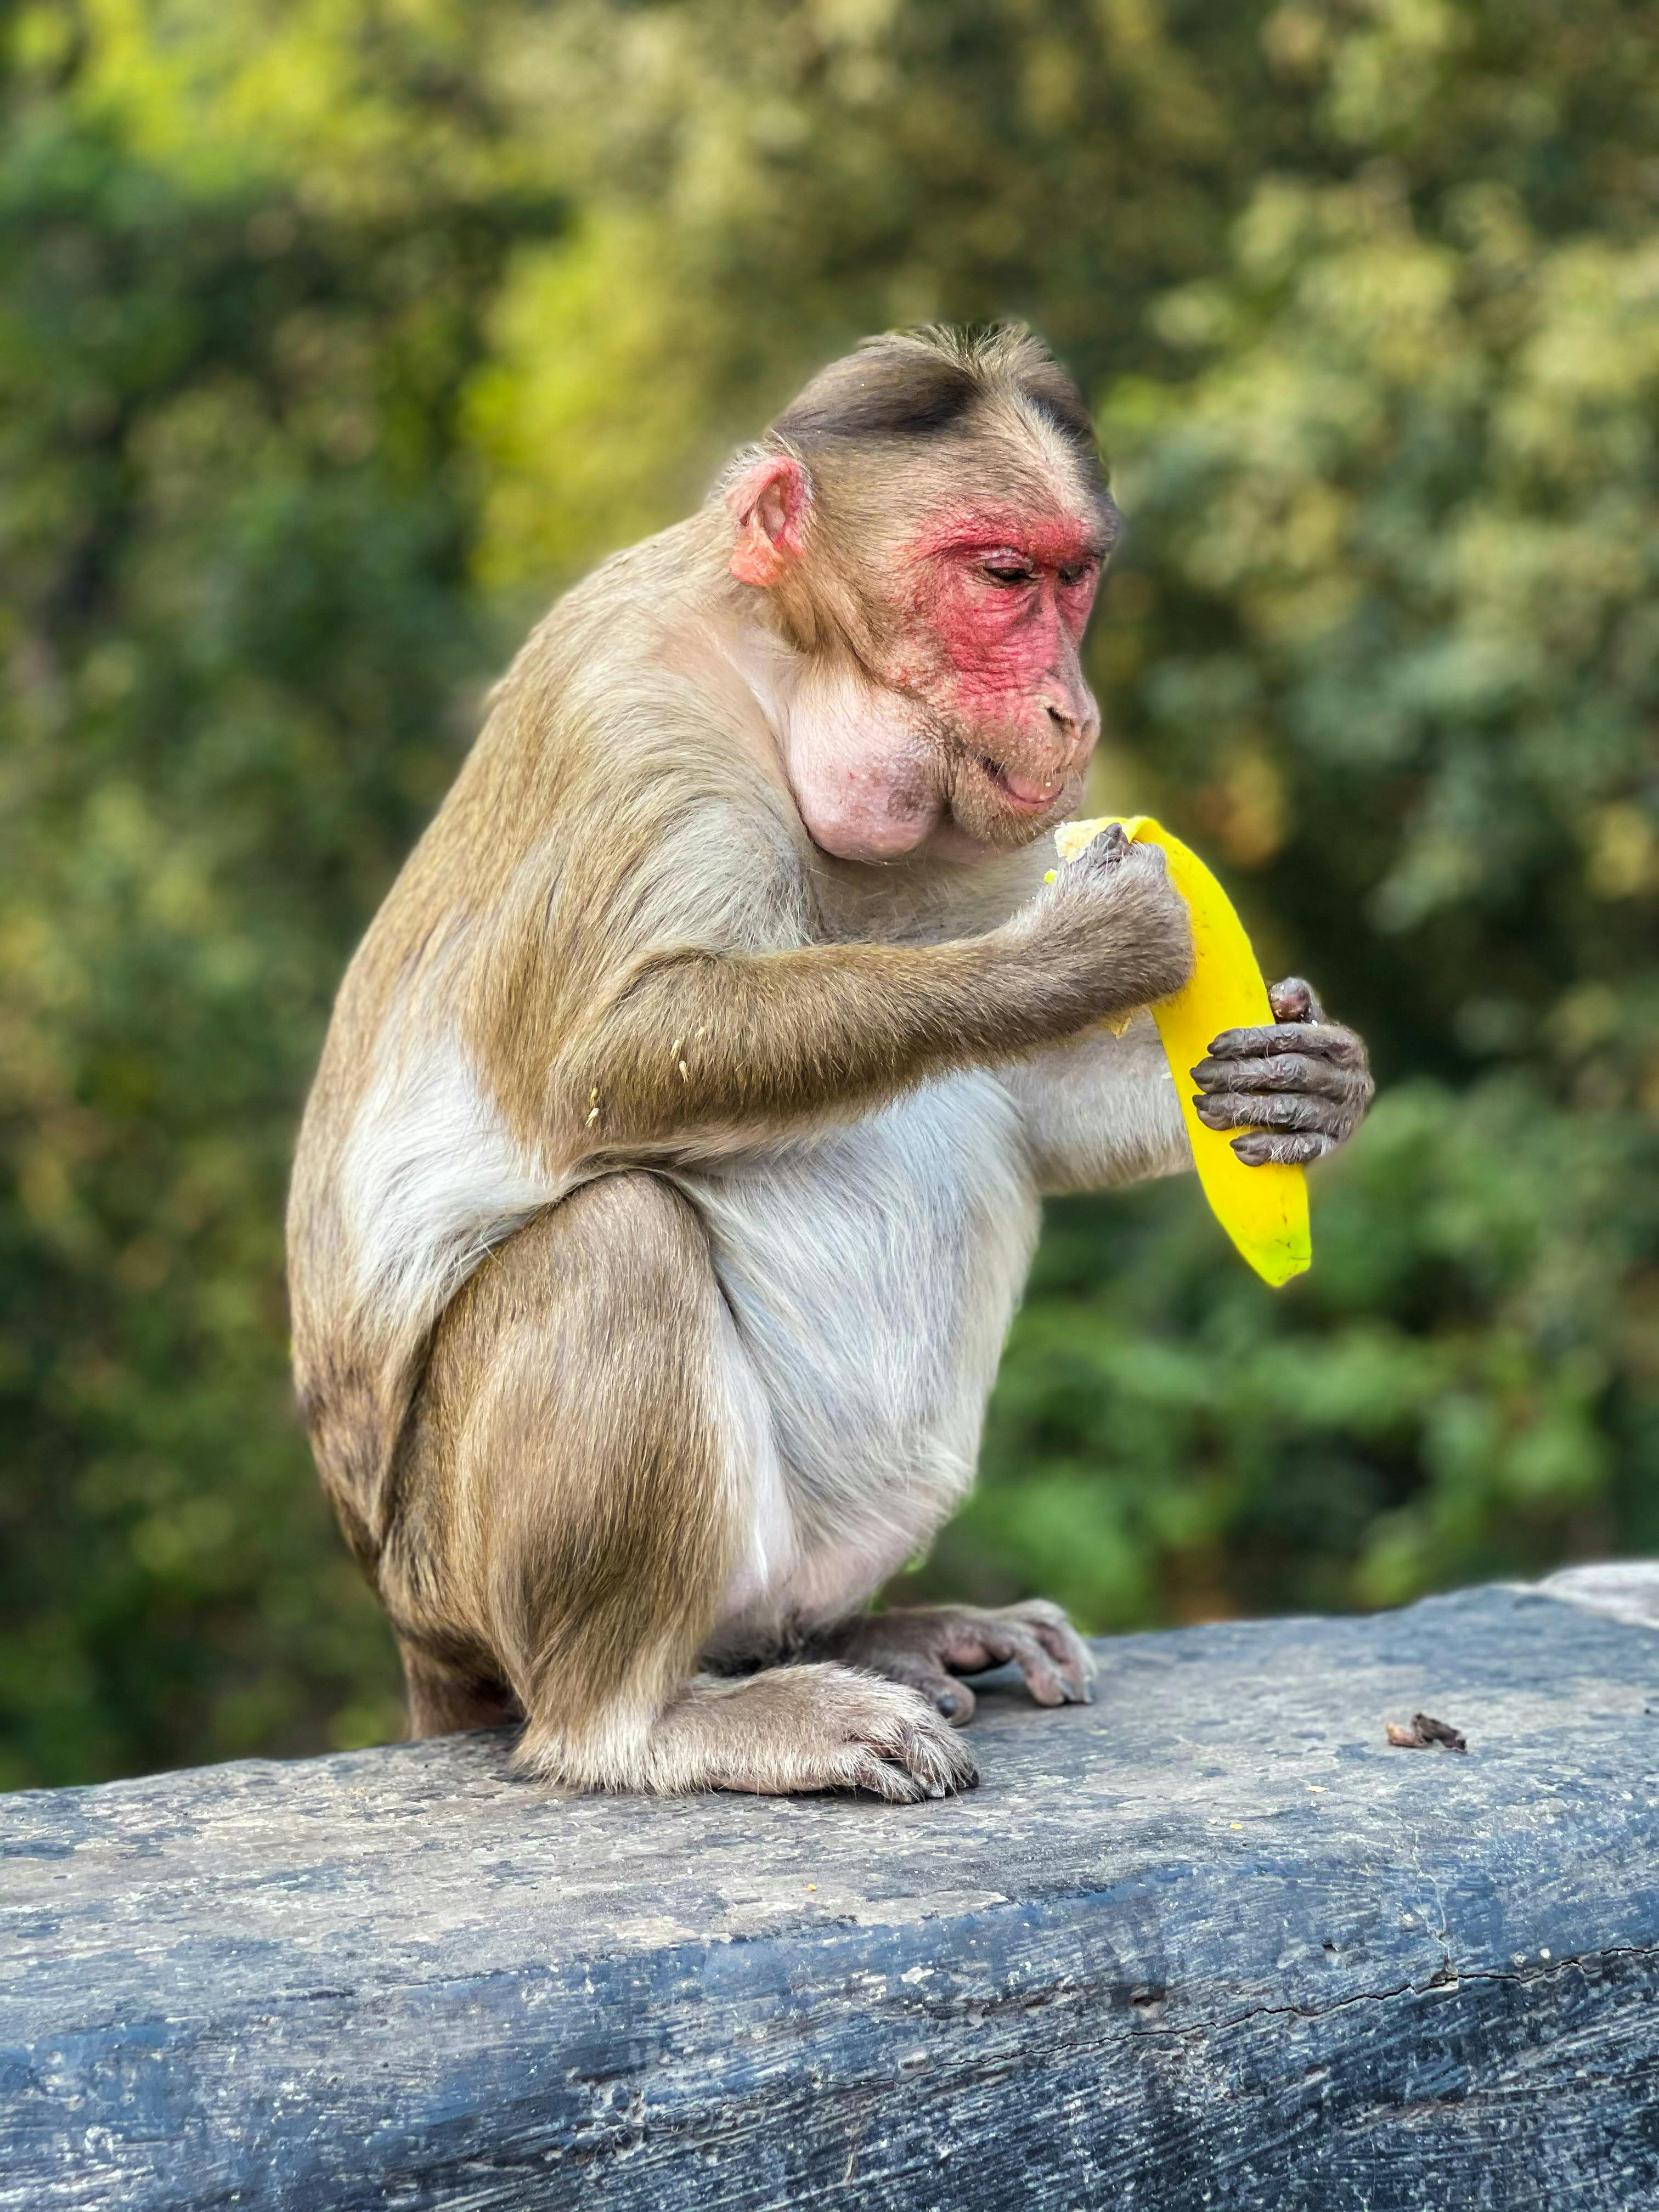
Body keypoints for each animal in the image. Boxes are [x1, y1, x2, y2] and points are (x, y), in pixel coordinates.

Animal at [287, 325, 1374, 1802]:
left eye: (1073, 580)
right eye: (1001, 579)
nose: (1072, 707)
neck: (783, 678)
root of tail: (418, 1638)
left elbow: (1026, 1107)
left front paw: (1307, 1077)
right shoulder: (631, 710)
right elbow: (607, 1058)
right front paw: (1084, 952)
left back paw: (878, 1634)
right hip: (457, 1583)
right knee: (618, 1239)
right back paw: (652, 1720)